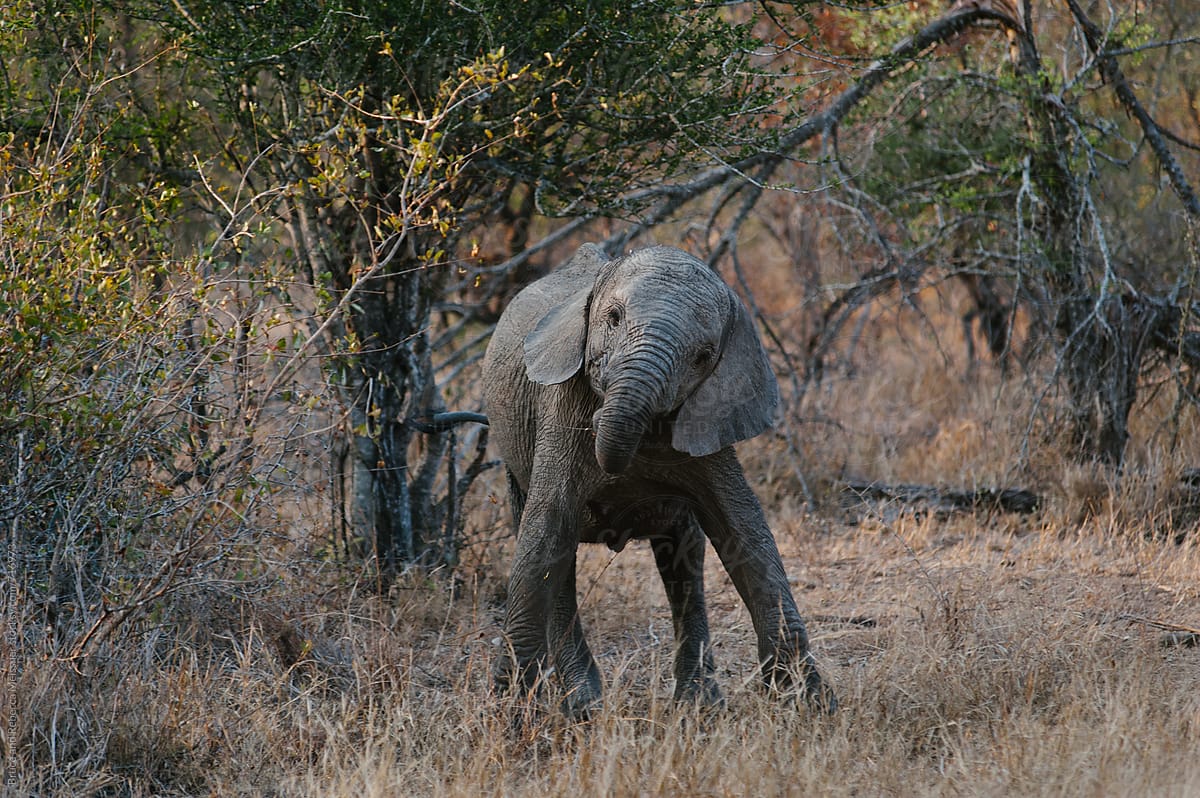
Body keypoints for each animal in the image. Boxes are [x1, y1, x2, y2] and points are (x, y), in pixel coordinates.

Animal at [482, 243, 835, 717]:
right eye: (613, 318)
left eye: (703, 355)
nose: (600, 420)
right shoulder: (561, 408)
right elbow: (545, 534)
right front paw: (508, 716)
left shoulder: (710, 423)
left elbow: (745, 532)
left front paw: (814, 707)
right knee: (556, 551)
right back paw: (584, 706)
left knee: (684, 558)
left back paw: (697, 704)